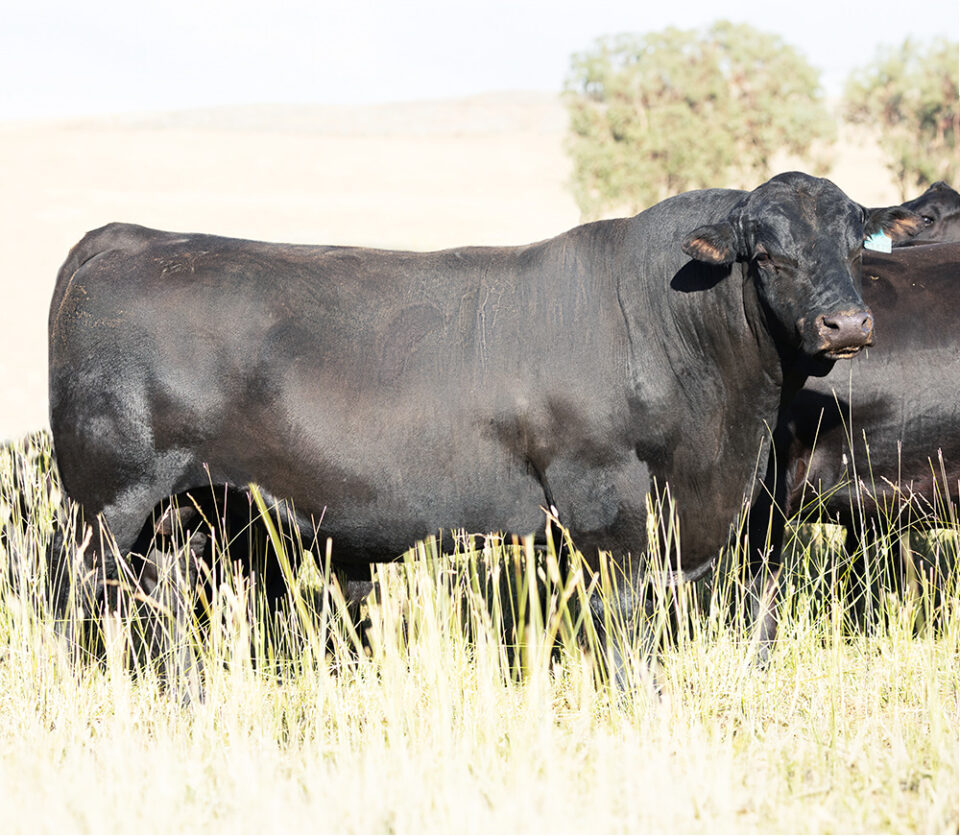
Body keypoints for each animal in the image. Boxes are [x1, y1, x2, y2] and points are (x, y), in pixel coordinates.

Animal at [48, 171, 920, 685]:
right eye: (767, 254)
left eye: (855, 243)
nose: (848, 324)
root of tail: (121, 237)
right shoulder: (604, 503)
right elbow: (624, 625)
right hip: (109, 506)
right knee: (78, 602)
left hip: (180, 516)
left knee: (158, 610)